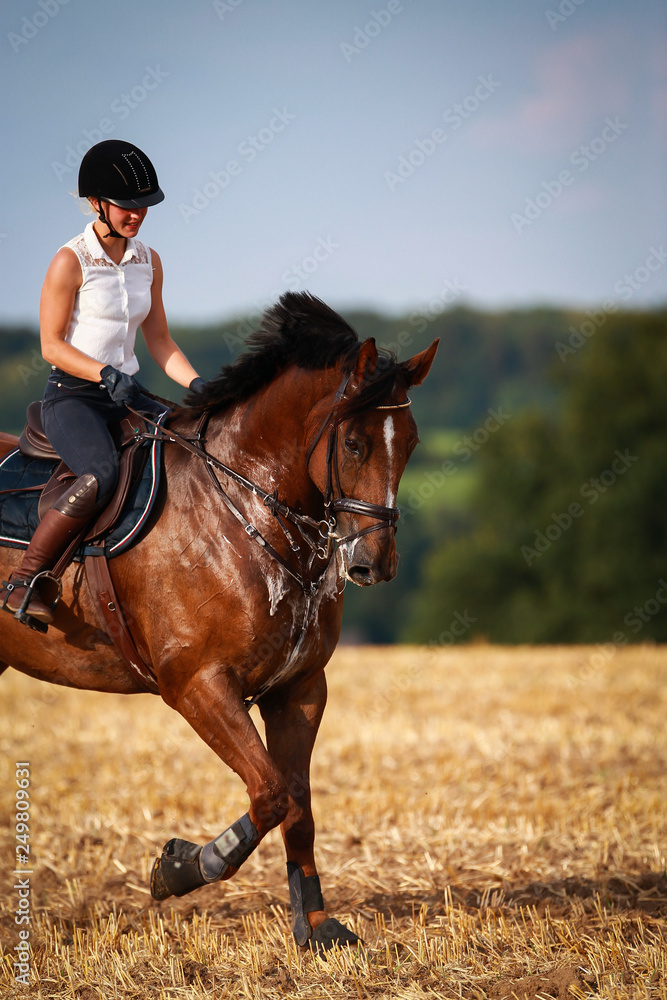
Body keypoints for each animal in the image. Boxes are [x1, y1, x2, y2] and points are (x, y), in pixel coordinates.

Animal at [0, 292, 438, 953]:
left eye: (408, 444)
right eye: (355, 444)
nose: (373, 564)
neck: (246, 509)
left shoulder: (299, 688)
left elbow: (298, 807)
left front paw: (315, 927)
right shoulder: (198, 685)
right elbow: (270, 793)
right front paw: (179, 867)